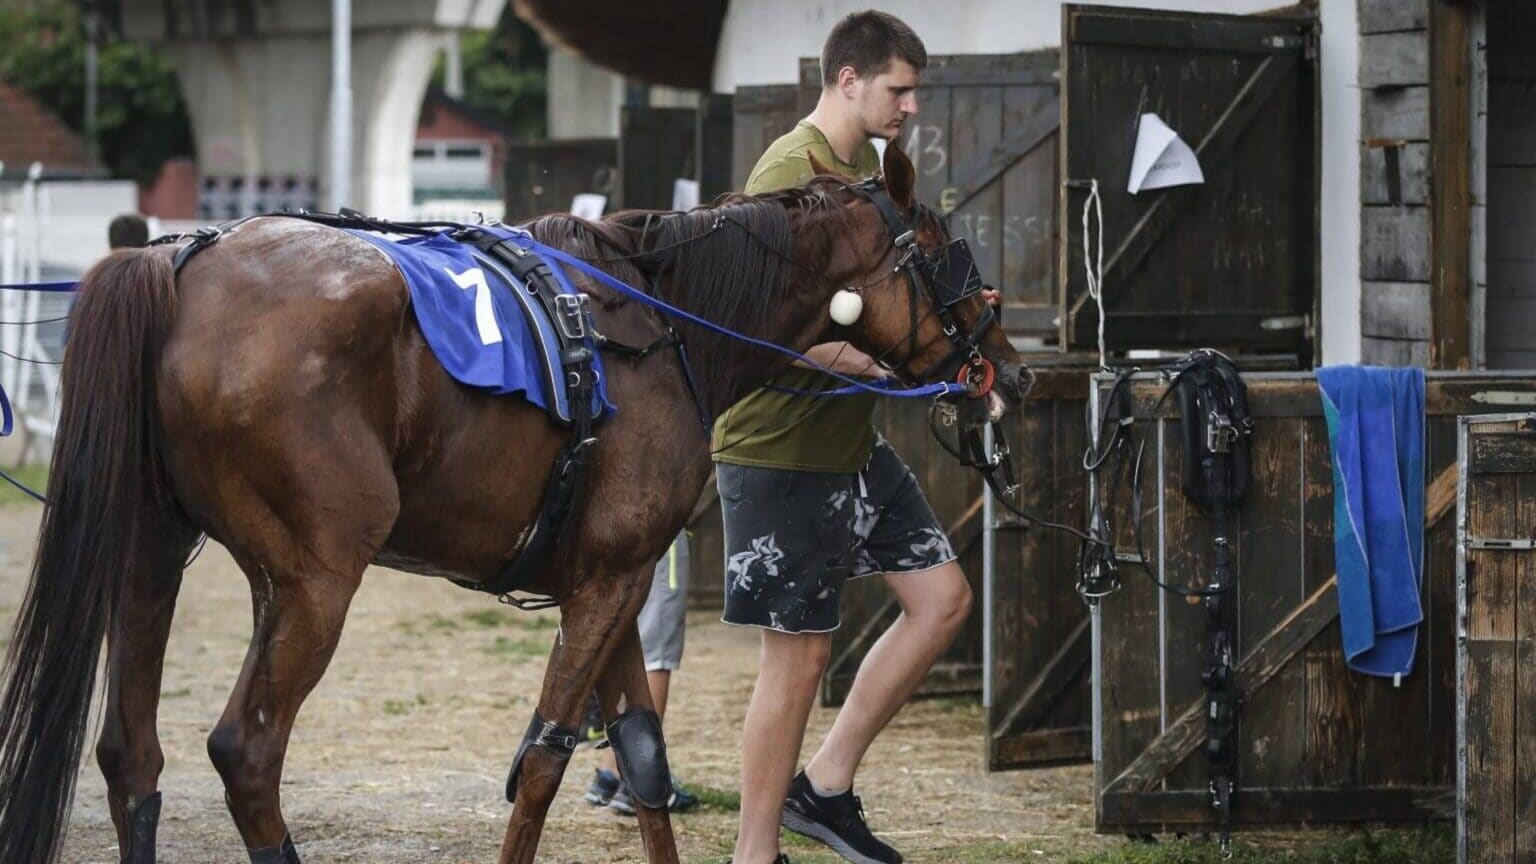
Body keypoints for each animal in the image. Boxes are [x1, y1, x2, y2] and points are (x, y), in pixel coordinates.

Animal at [0, 142, 1028, 864]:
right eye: (954, 255)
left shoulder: (618, 578)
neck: (658, 327)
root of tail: (184, 264)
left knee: (132, 758)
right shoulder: (606, 582)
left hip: (149, 558)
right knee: (246, 757)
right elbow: (543, 761)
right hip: (311, 583)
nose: (1006, 369)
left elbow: (643, 758)